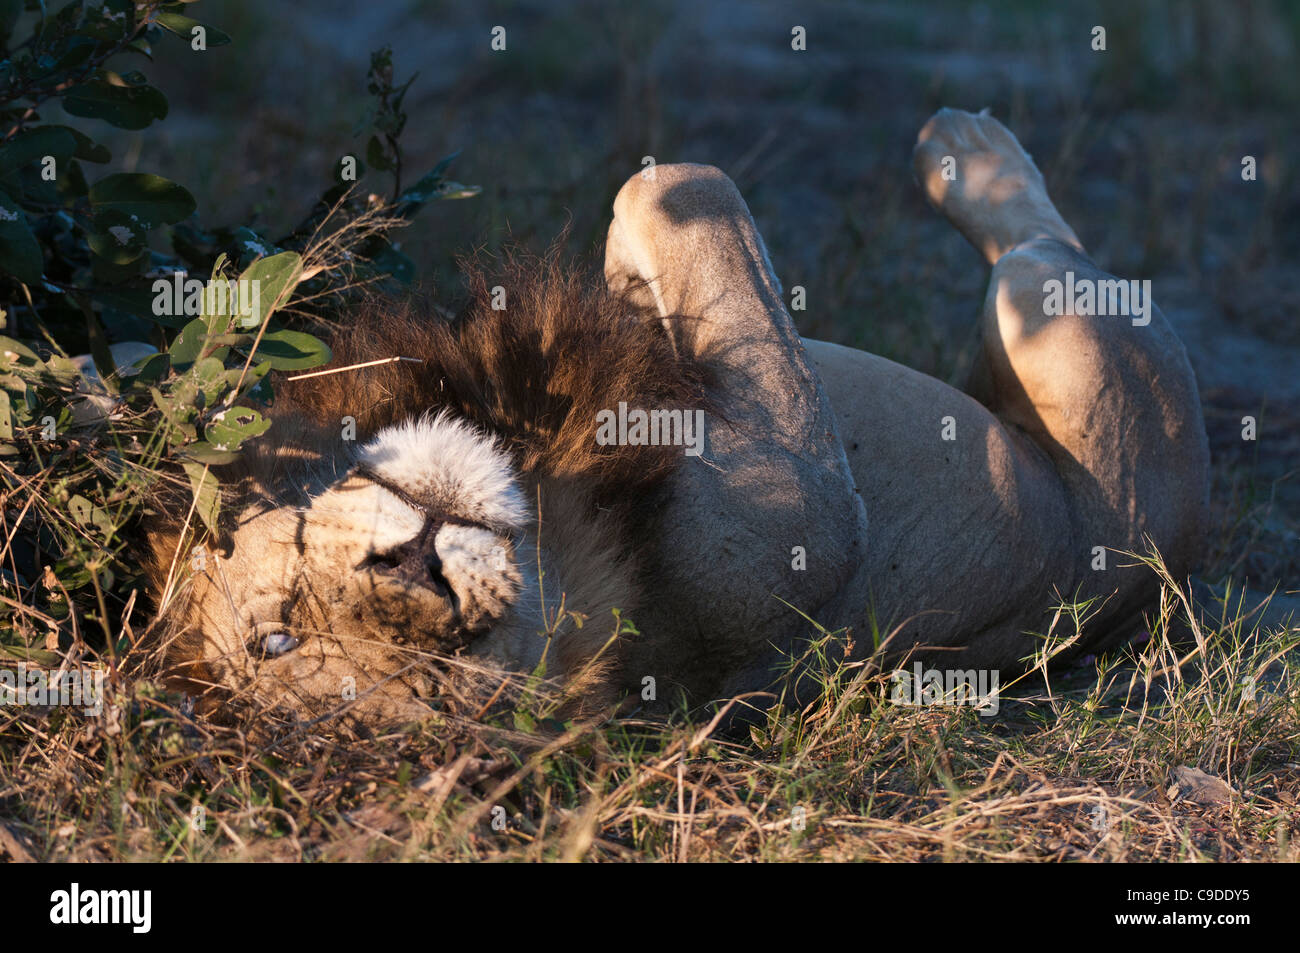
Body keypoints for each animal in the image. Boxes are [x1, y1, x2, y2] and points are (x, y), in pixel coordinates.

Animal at [144, 109, 1210, 725]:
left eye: (278, 630)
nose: (408, 568)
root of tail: (1164, 577)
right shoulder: (798, 510)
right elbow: (675, 186)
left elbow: (648, 229)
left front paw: (622, 292)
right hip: (1074, 340)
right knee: (1038, 245)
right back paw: (970, 150)